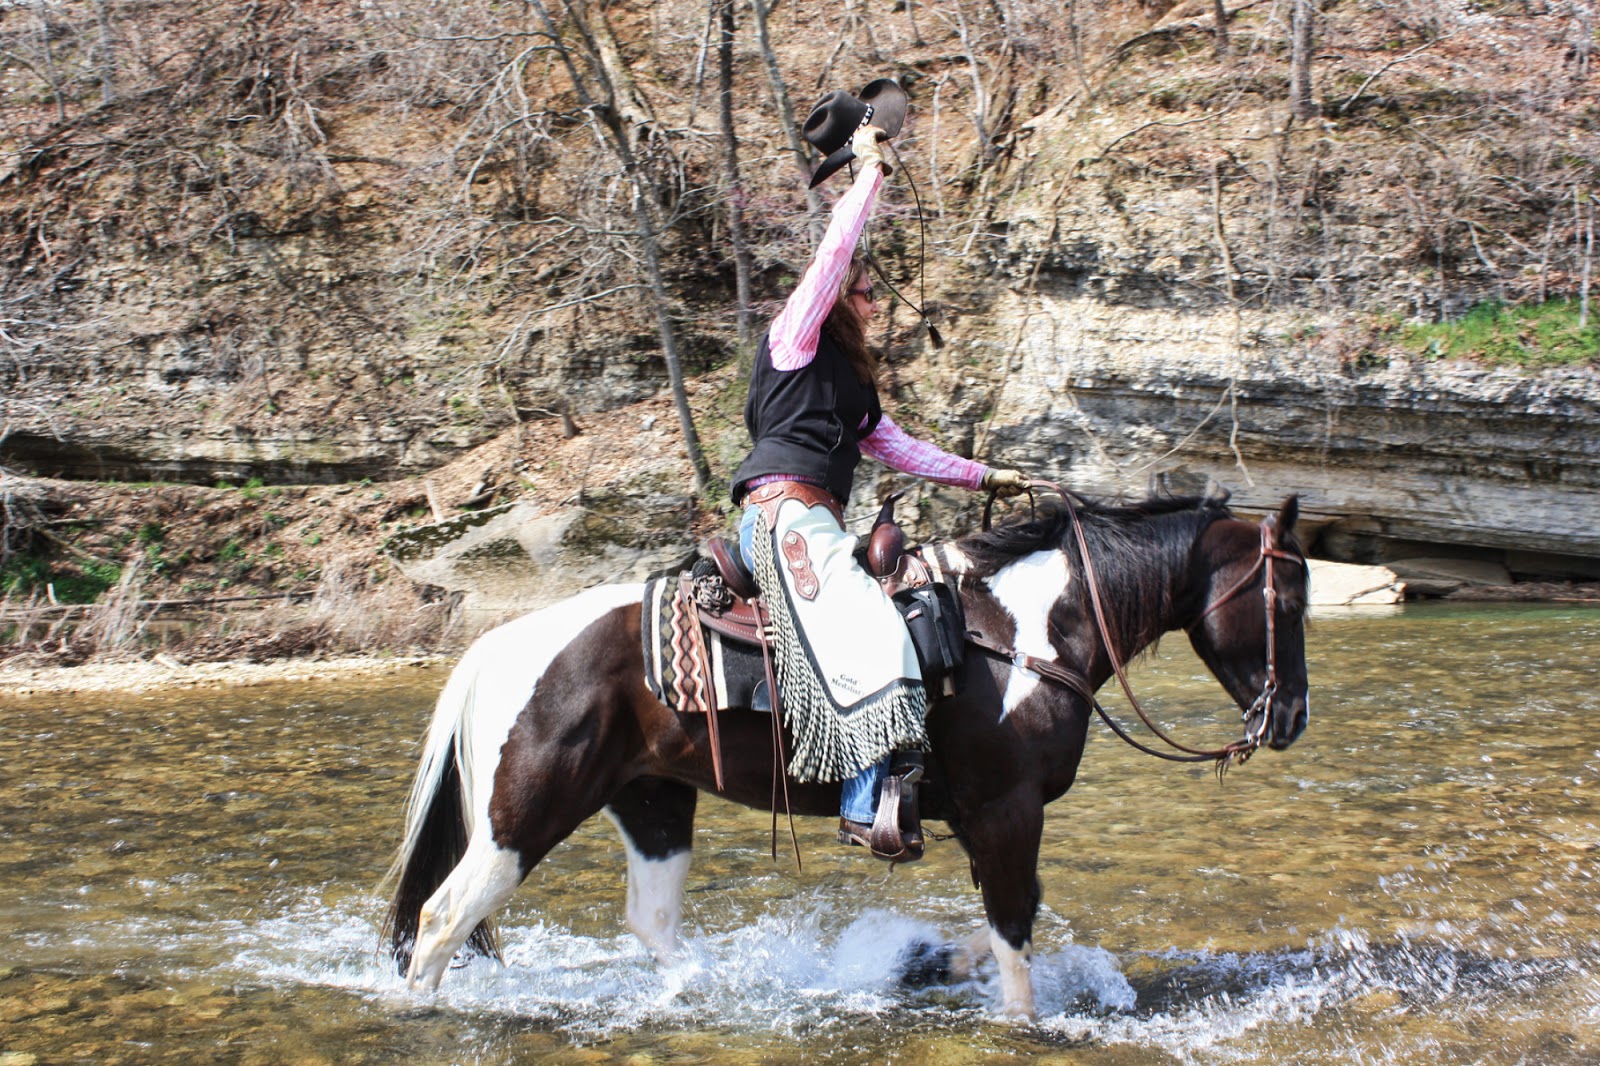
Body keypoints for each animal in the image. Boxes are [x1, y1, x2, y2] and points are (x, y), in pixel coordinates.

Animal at [381, 489, 1310, 1019]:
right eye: (1290, 595)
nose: (1292, 717)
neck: (1023, 633)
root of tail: (497, 647)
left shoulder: (981, 821)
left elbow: (1001, 925)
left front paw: (931, 963)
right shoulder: (1006, 812)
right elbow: (1015, 929)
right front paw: (1017, 1014)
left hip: (653, 801)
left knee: (651, 922)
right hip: (524, 814)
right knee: (441, 917)